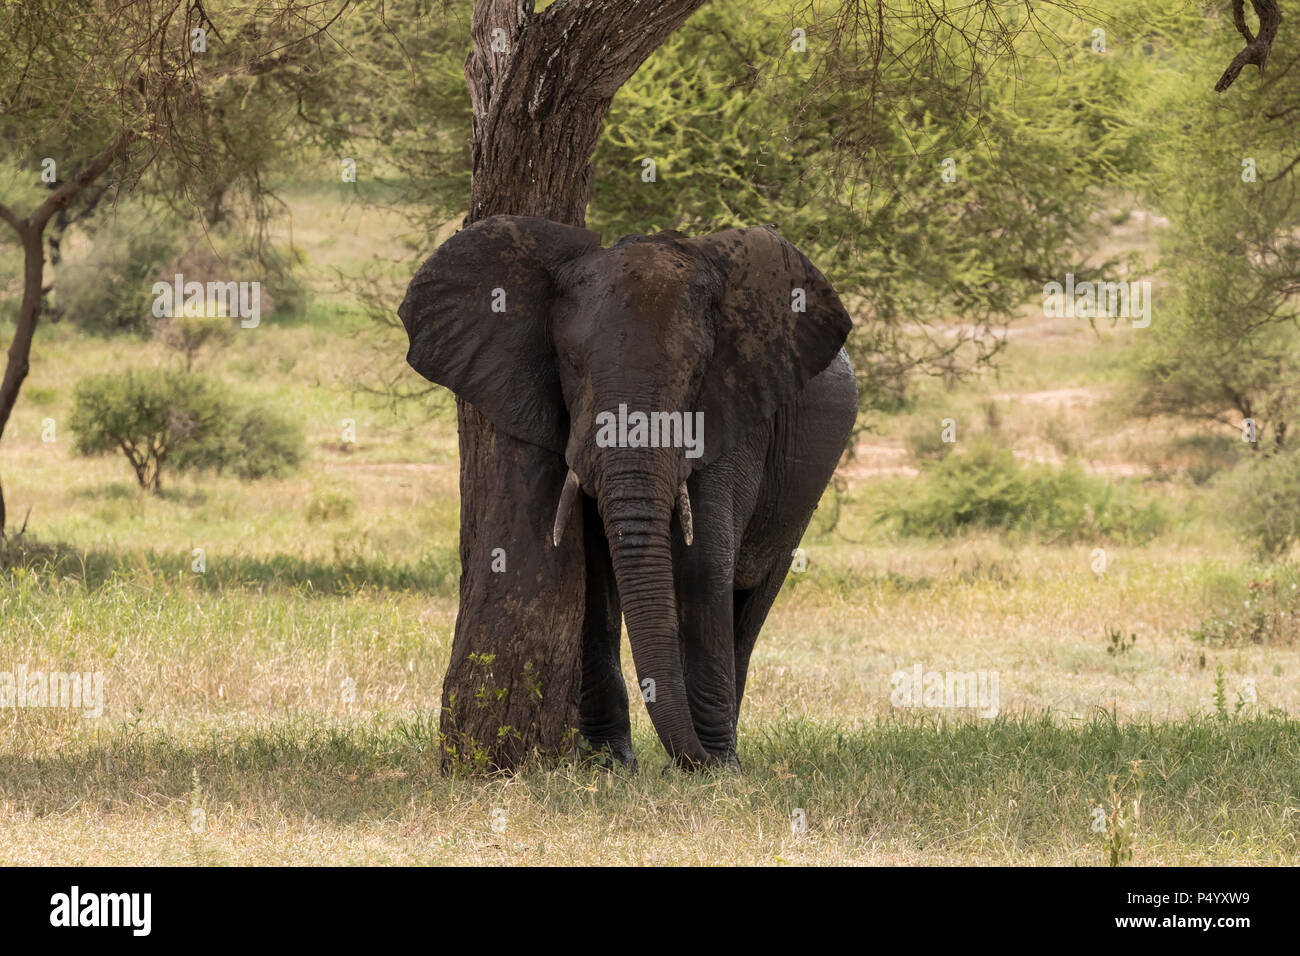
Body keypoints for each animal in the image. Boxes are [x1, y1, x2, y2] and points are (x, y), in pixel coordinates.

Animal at [399, 215, 857, 769]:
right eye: (571, 367)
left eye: (695, 372)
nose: (690, 760)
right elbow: (594, 568)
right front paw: (608, 762)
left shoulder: (735, 409)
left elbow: (705, 562)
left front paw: (716, 768)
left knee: (753, 600)